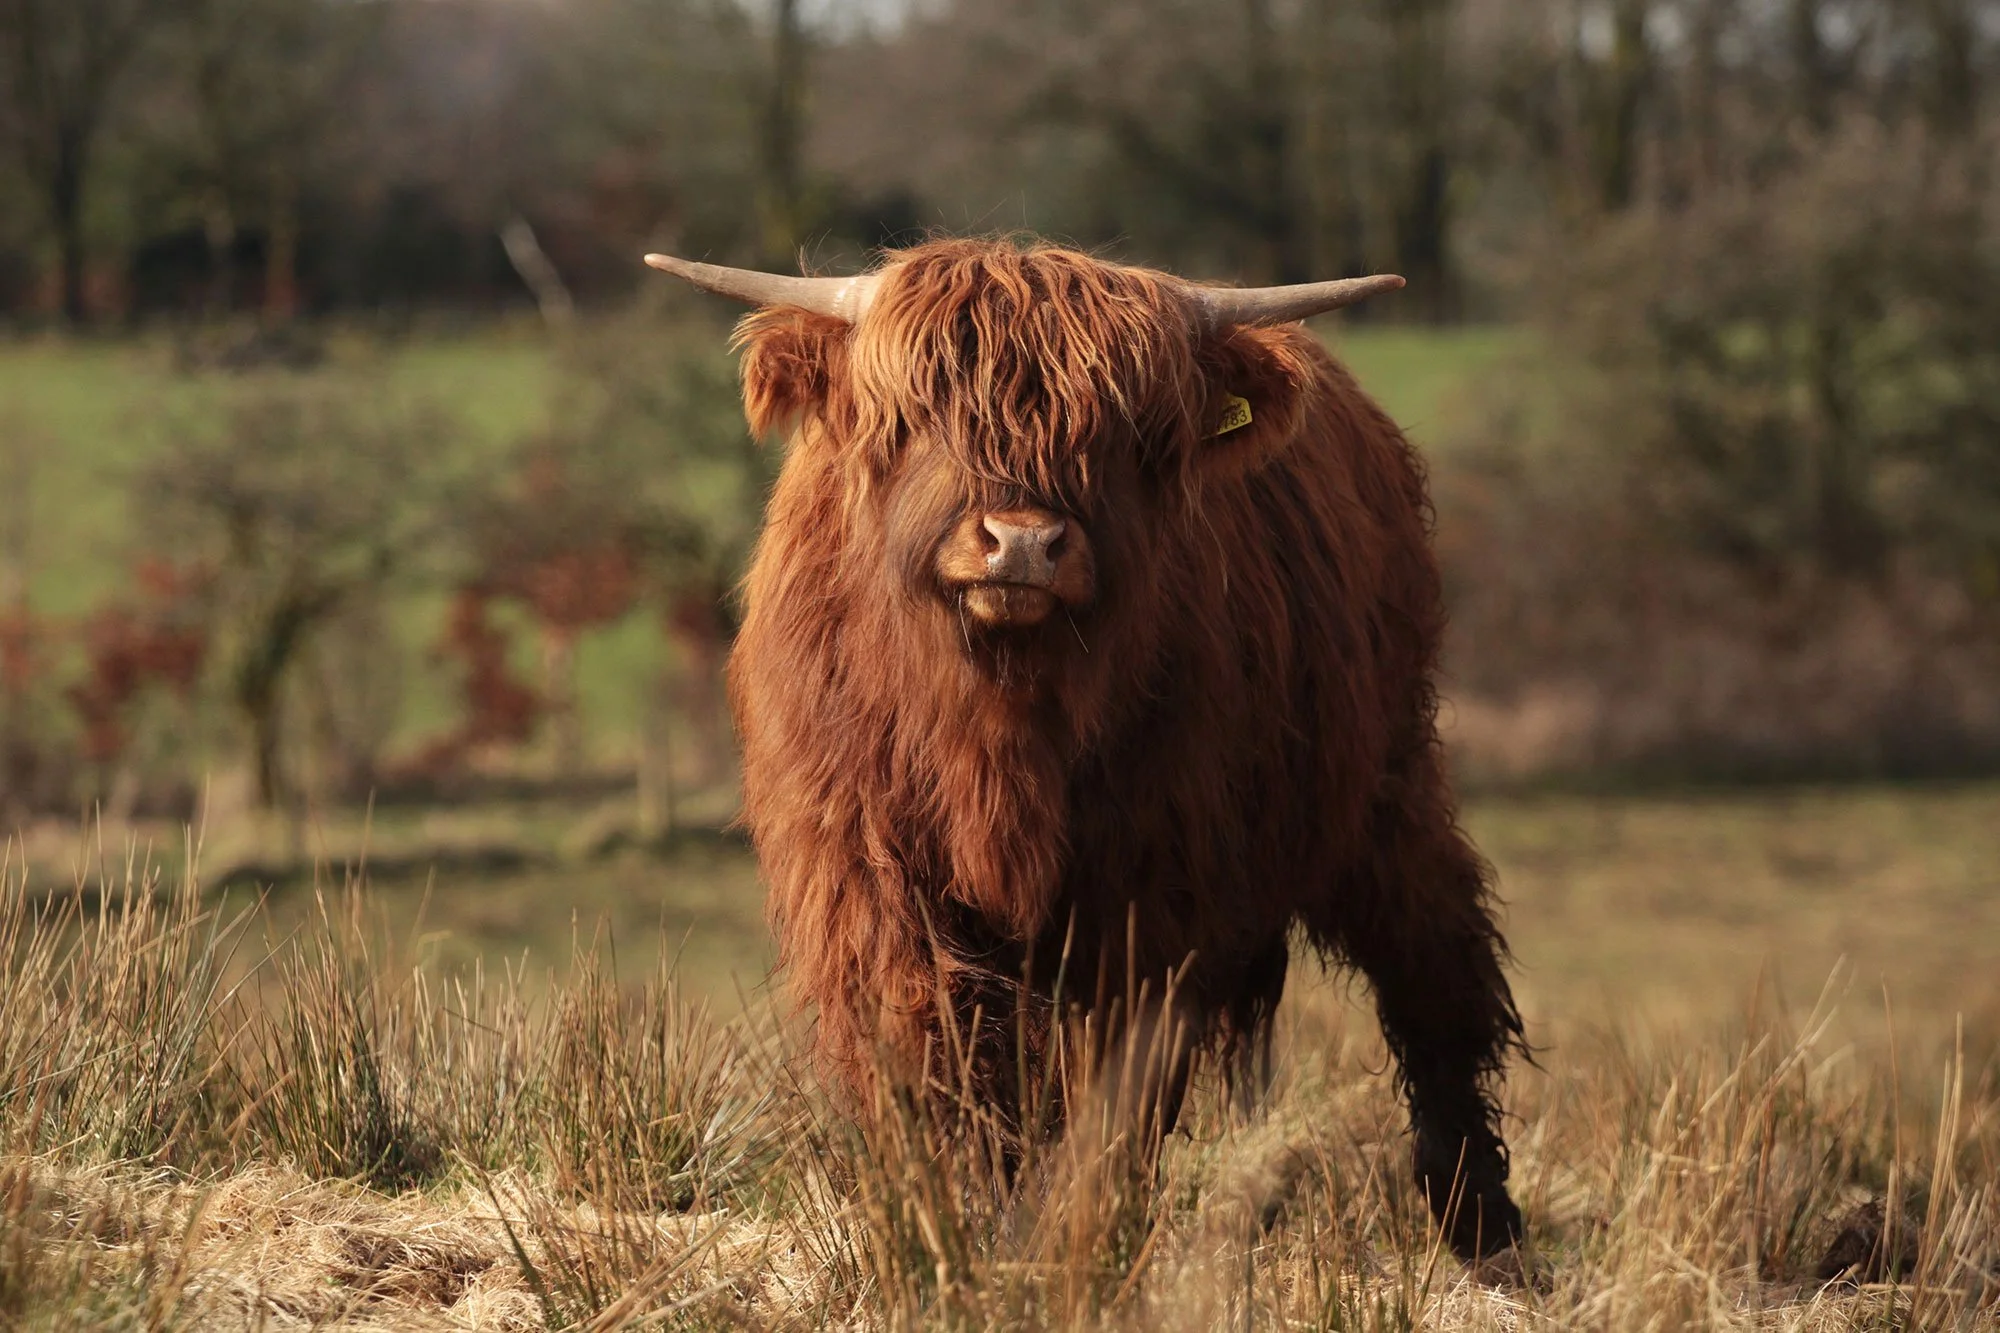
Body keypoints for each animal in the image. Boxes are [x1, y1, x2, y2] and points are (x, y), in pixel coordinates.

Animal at [645, 237, 1527, 1260]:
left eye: (1123, 434)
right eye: (922, 414)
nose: (1022, 542)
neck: (999, 723)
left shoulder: (1155, 899)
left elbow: (1112, 1100)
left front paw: (1065, 1239)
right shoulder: (872, 882)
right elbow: (943, 1060)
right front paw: (962, 1230)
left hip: (1388, 780)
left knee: (1436, 969)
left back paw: (1483, 1223)